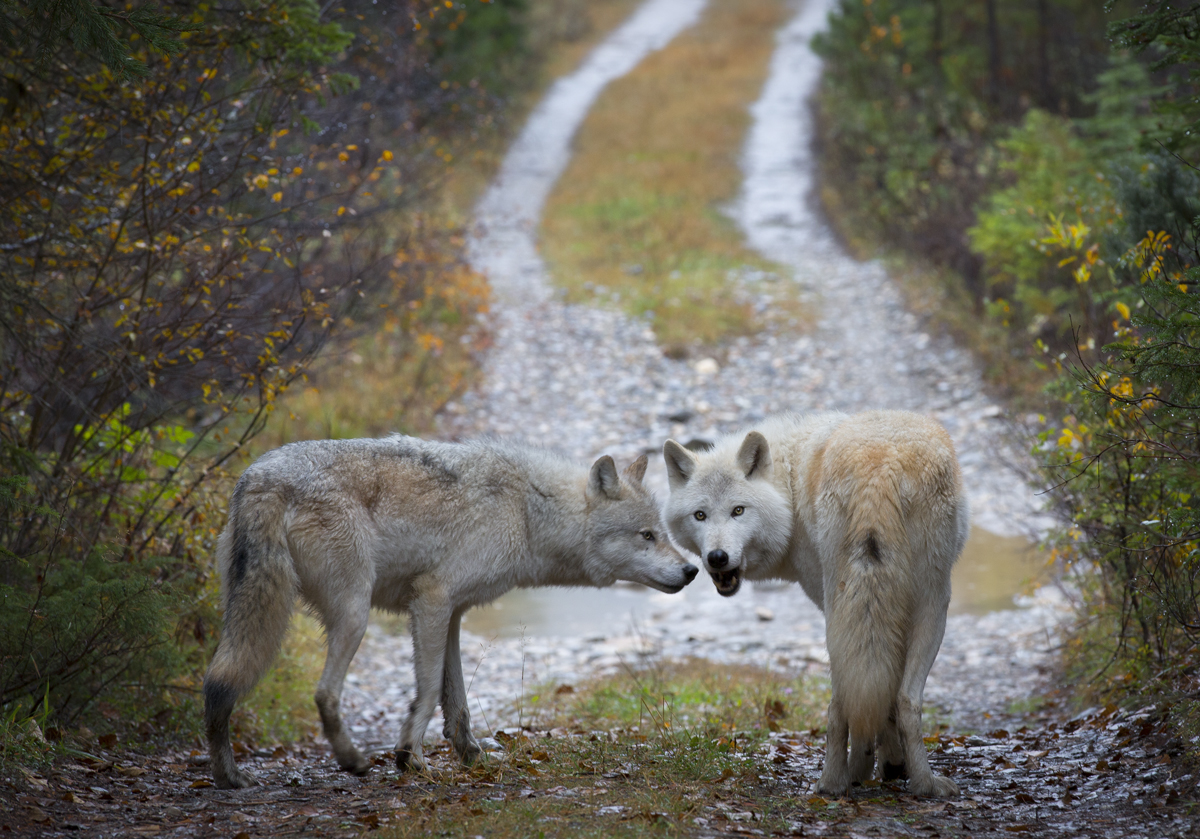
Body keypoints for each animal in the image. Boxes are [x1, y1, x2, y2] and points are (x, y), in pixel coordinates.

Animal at [203, 436, 698, 789]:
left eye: (662, 532)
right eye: (647, 535)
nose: (693, 570)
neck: (527, 511)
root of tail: (260, 478)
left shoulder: (452, 613)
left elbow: (455, 702)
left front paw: (472, 756)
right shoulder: (433, 600)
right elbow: (424, 695)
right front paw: (410, 758)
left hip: (257, 614)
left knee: (217, 683)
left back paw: (229, 776)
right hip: (353, 617)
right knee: (324, 693)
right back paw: (352, 760)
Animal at [663, 411, 968, 798]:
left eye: (738, 511)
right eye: (700, 515)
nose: (717, 558)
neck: (789, 483)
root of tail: (880, 465)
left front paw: (877, 765)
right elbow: (886, 694)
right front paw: (893, 764)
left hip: (857, 610)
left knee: (840, 705)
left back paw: (834, 781)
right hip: (925, 604)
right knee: (904, 699)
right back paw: (924, 784)